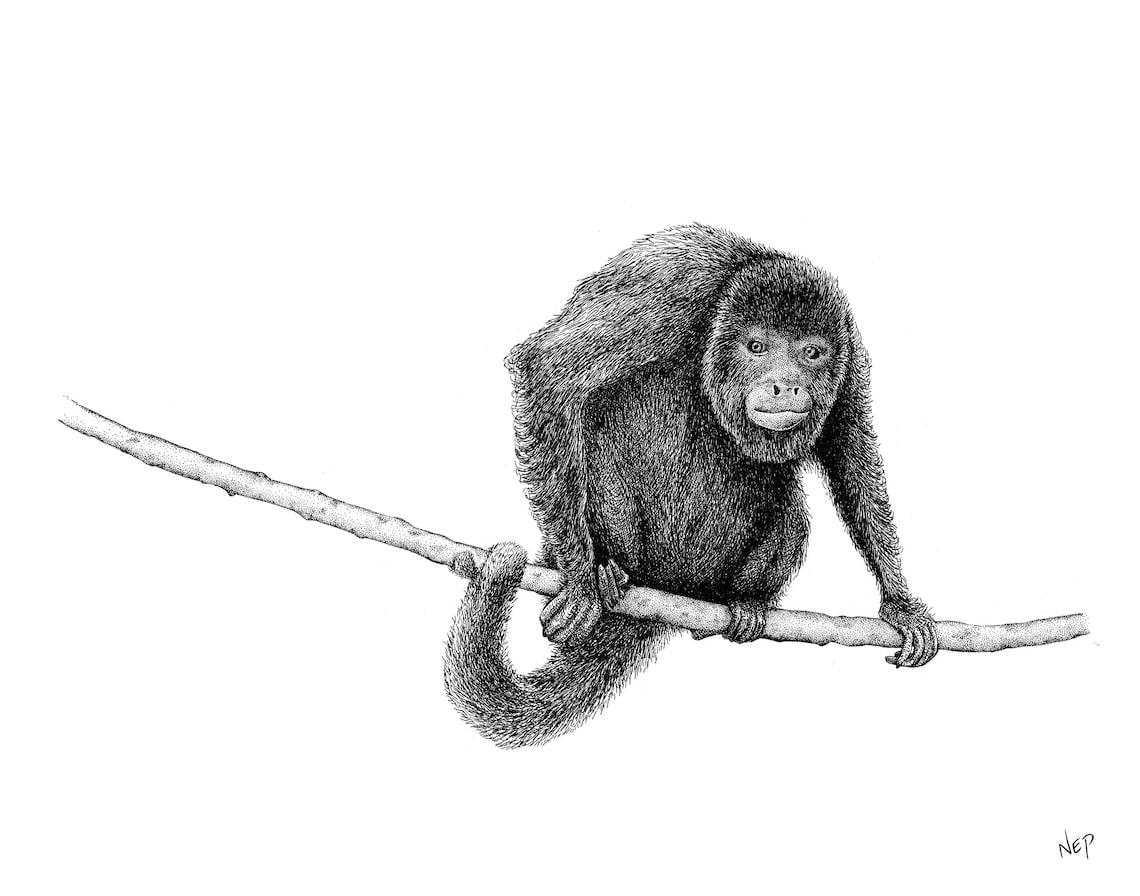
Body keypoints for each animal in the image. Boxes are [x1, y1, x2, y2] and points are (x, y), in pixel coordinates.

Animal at [444, 223, 937, 748]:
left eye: (812, 352)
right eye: (757, 347)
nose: (787, 384)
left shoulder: (850, 343)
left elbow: (851, 454)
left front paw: (899, 604)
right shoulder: (671, 288)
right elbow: (547, 374)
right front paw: (579, 580)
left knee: (791, 509)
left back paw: (742, 601)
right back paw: (608, 571)